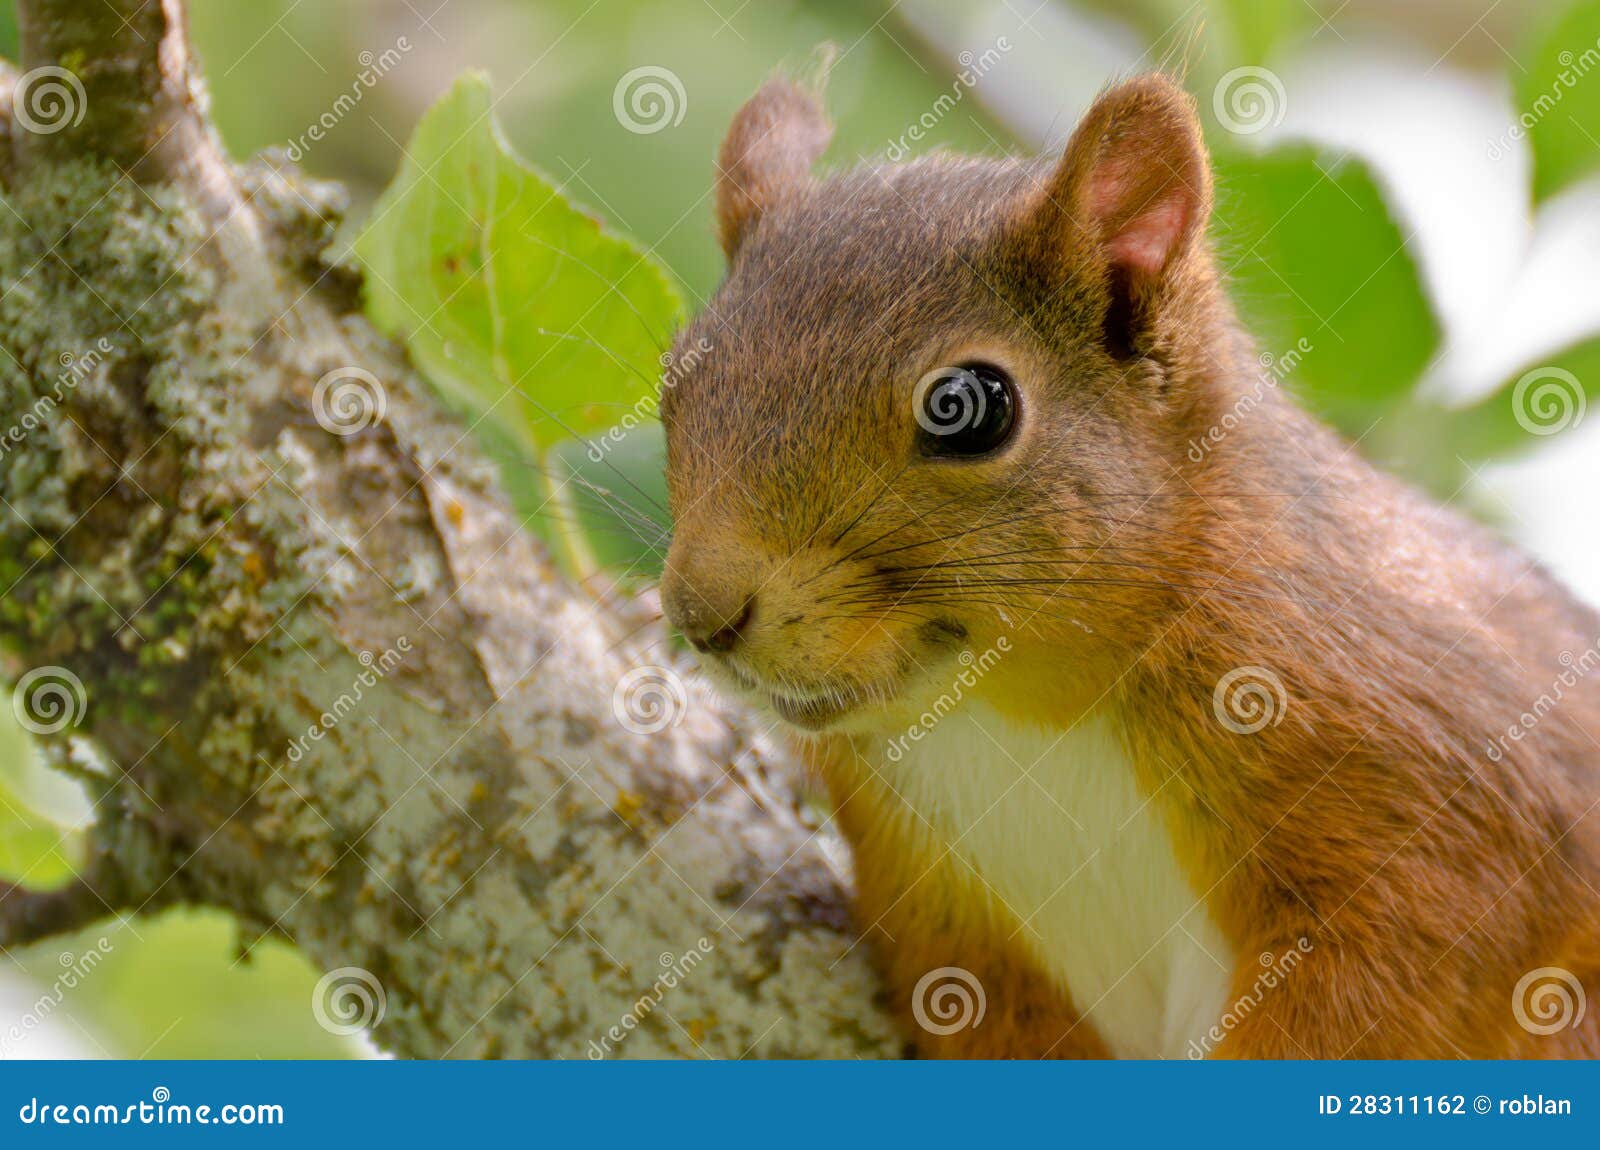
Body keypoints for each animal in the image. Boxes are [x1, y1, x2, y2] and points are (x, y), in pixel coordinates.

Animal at [655, 72, 1600, 1058]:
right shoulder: (957, 934)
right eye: (671, 378)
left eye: (968, 406)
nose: (701, 613)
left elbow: (1382, 986)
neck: (1024, 717)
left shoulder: (1441, 797)